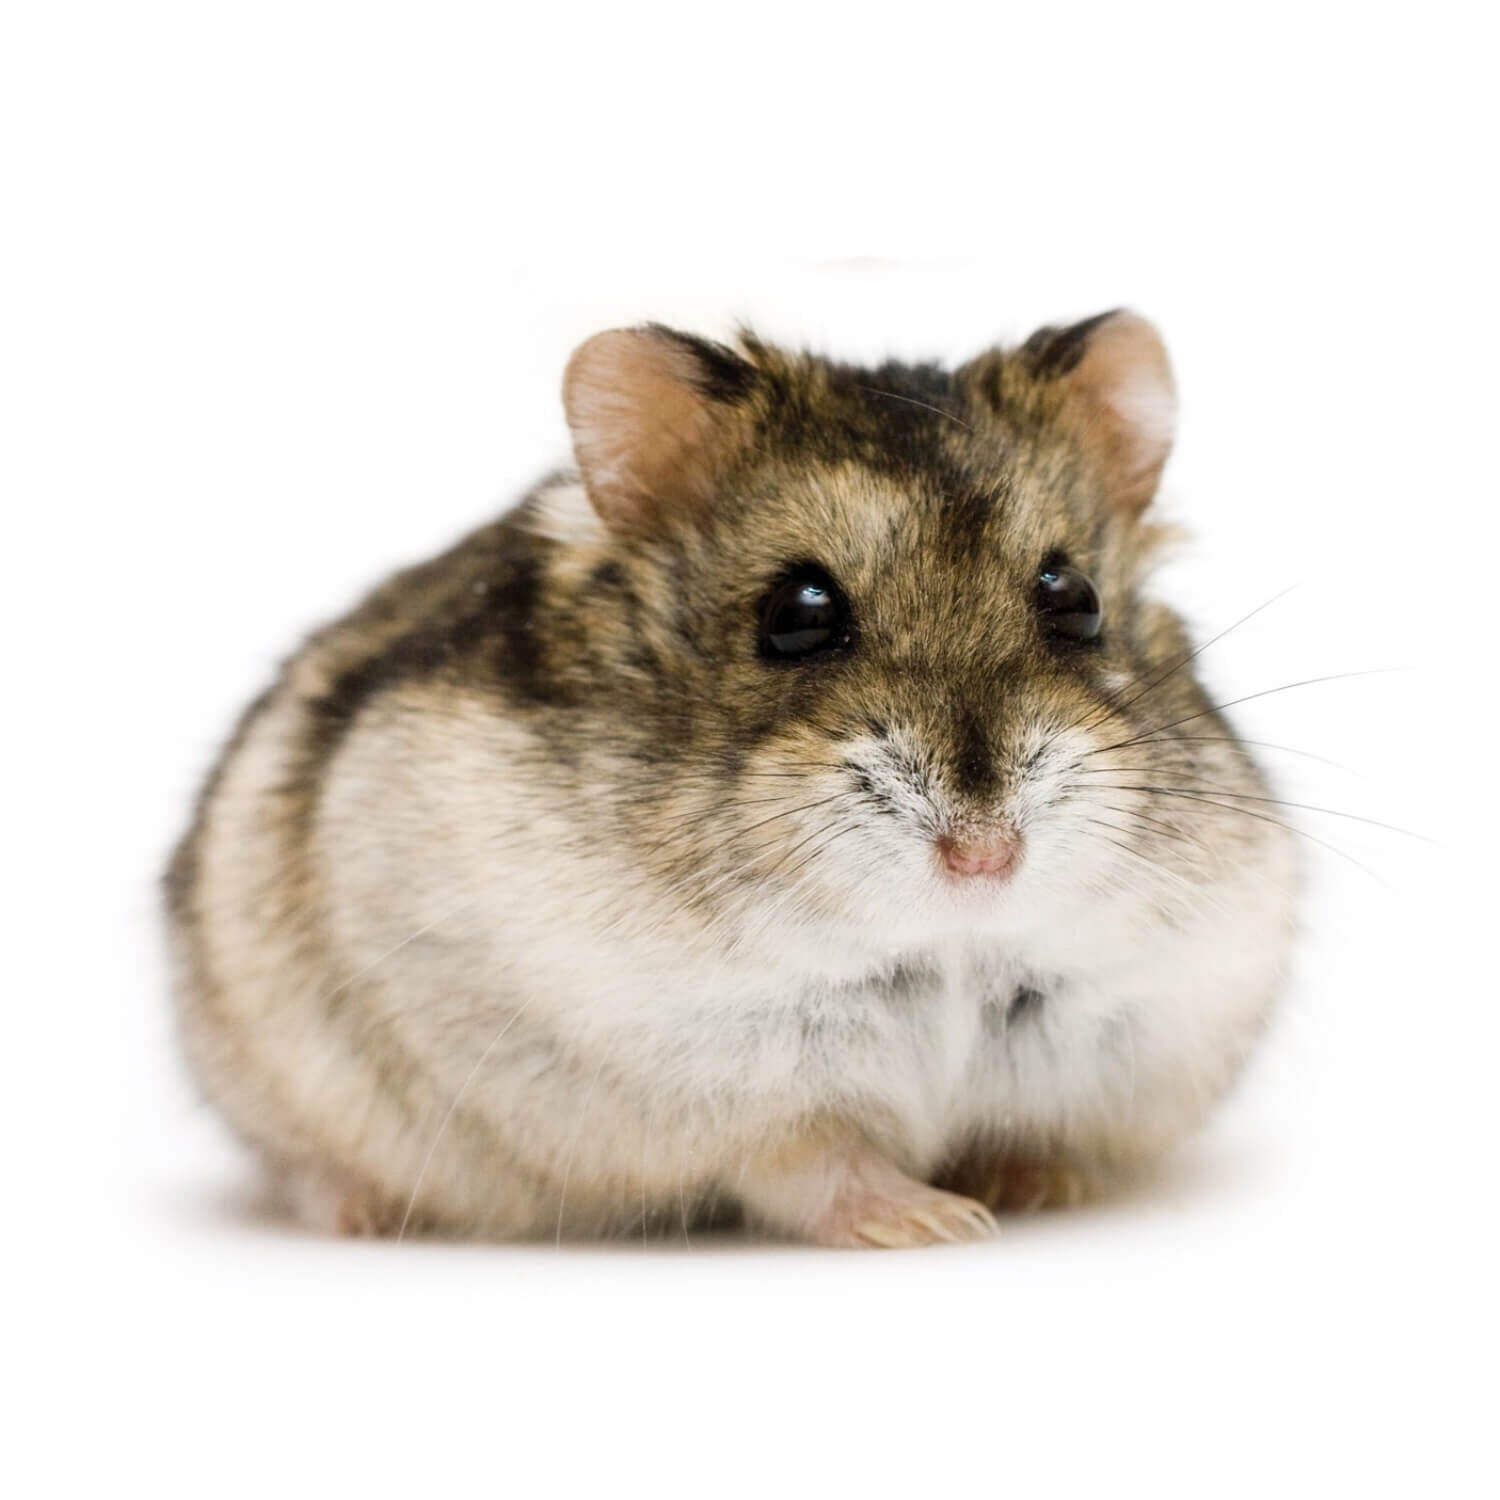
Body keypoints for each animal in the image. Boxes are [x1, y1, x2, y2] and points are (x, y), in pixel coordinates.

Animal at [164, 311, 1297, 1247]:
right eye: (797, 613)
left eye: (1077, 601)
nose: (985, 856)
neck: (945, 945)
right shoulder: (690, 1087)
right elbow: (813, 1161)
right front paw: (938, 1222)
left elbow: (1029, 1136)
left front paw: (1024, 1191)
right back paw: (355, 1213)